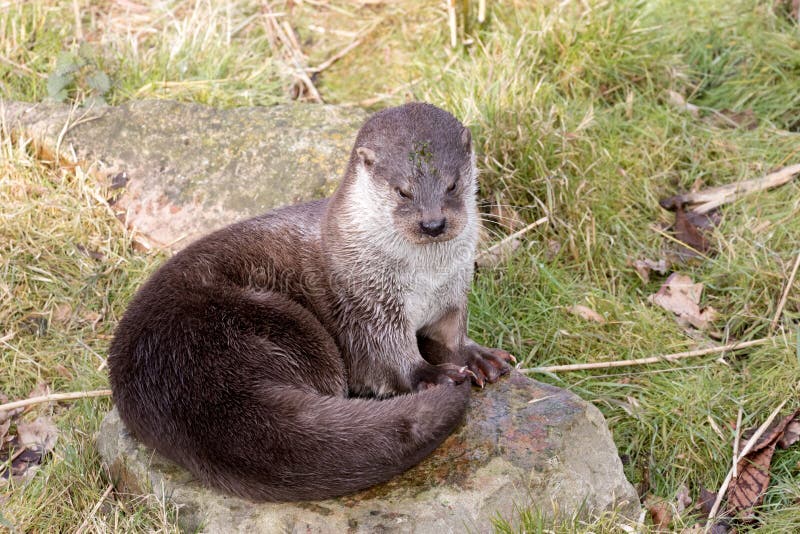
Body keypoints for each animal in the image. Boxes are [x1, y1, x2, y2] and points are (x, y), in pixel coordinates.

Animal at [108, 102, 514, 502]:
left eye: (452, 184)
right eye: (403, 191)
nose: (433, 224)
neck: (426, 279)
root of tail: (197, 394)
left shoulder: (453, 292)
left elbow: (451, 333)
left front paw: (477, 356)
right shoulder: (368, 303)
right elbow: (387, 354)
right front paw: (431, 375)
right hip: (281, 326)